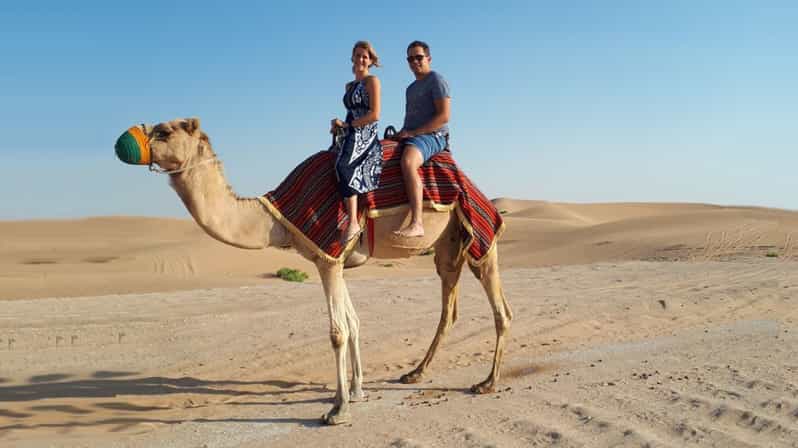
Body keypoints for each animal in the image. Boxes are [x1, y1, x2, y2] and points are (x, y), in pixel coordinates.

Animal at [117, 118, 512, 425]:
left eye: (165, 131)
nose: (123, 142)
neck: (276, 218)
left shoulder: (328, 256)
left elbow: (338, 331)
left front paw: (338, 410)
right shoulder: (336, 261)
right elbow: (354, 322)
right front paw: (355, 391)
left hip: (478, 233)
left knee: (500, 310)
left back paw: (487, 382)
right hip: (448, 246)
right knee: (449, 309)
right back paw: (415, 373)